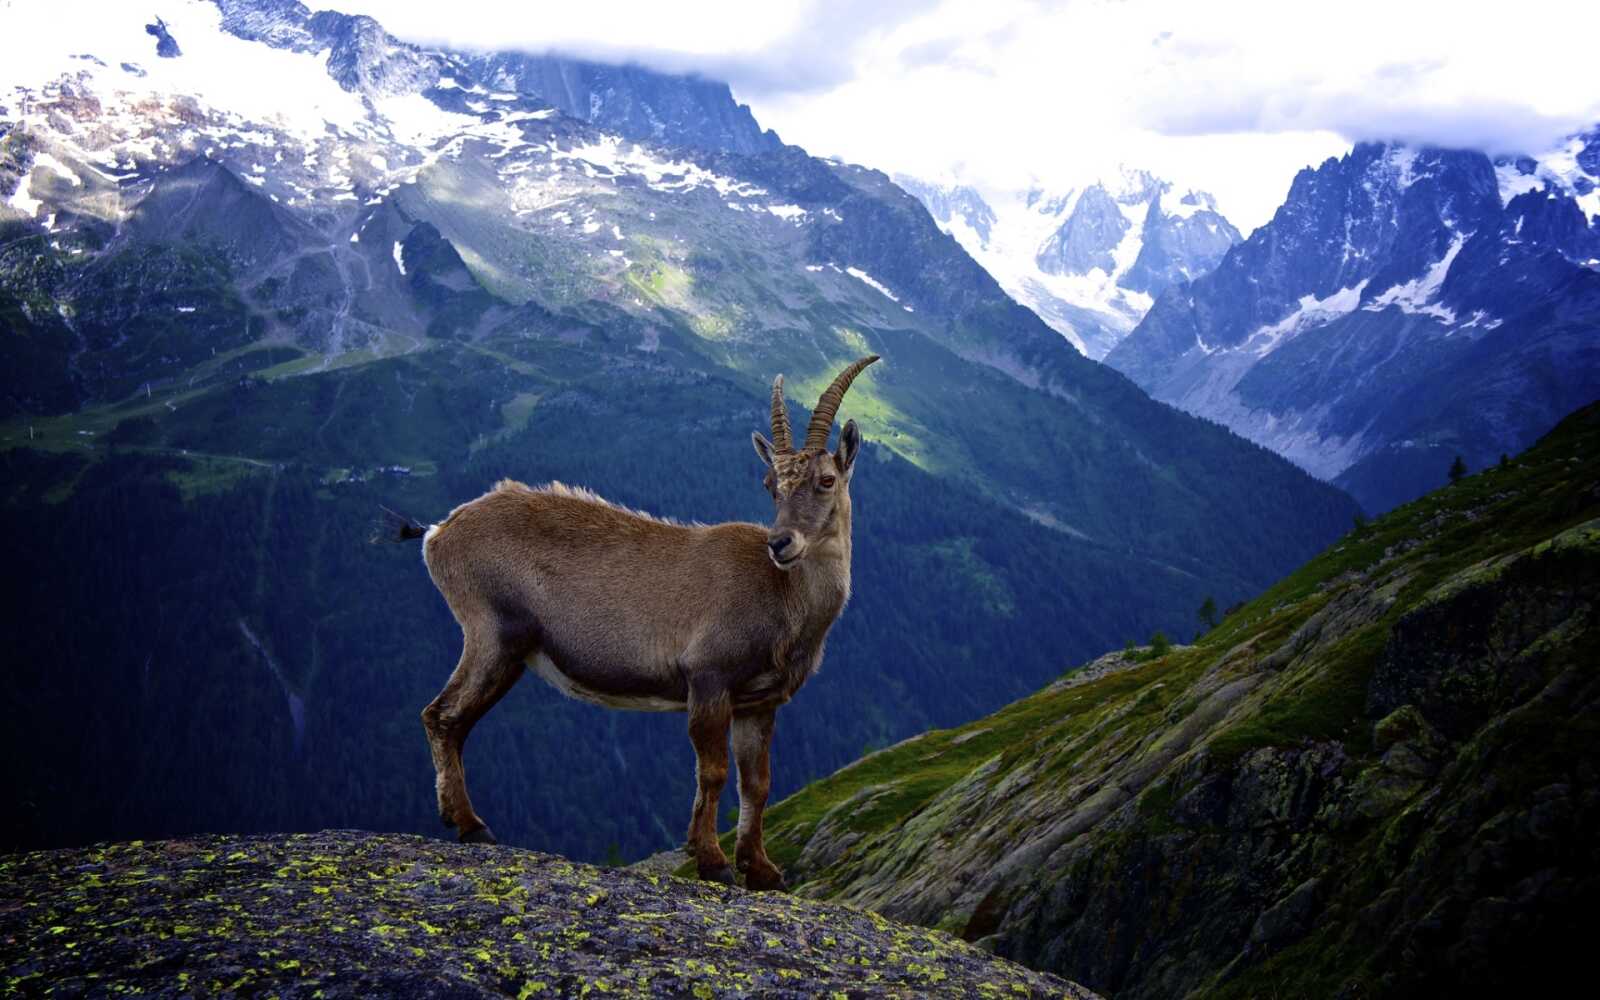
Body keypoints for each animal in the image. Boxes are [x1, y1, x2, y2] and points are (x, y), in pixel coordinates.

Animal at [383, 356, 880, 889]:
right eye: (770, 486)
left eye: (826, 480)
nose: (781, 543)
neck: (782, 596)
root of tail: (439, 532)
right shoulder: (708, 679)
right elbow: (713, 772)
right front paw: (713, 861)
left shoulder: (759, 702)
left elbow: (757, 783)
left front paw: (762, 869)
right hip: (492, 632)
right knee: (442, 715)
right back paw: (472, 825)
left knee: (450, 719)